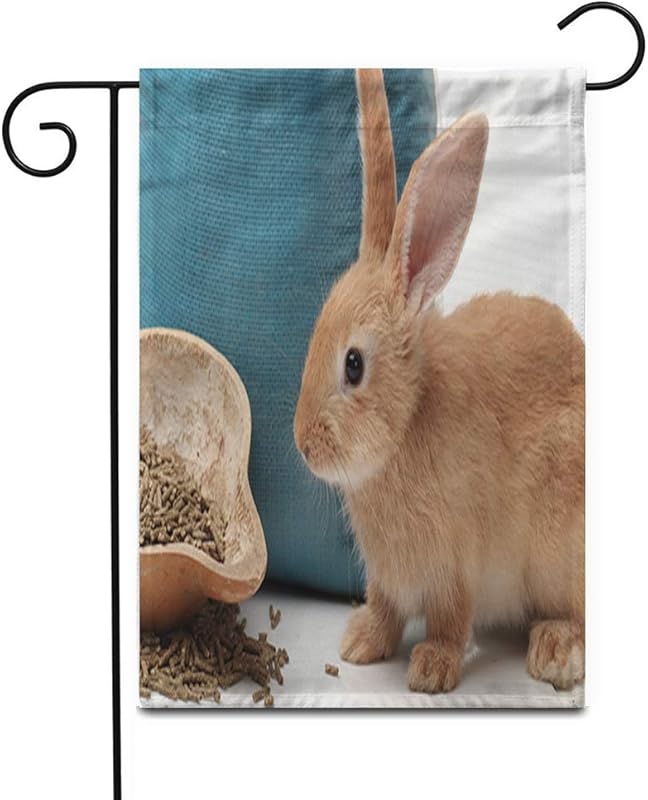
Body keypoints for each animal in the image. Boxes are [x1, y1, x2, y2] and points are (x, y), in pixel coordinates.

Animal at [293, 69, 584, 694]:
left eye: (353, 365)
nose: (304, 445)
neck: (405, 427)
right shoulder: (386, 573)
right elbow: (384, 606)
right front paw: (359, 644)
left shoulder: (458, 560)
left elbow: (451, 619)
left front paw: (430, 669)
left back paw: (555, 652)